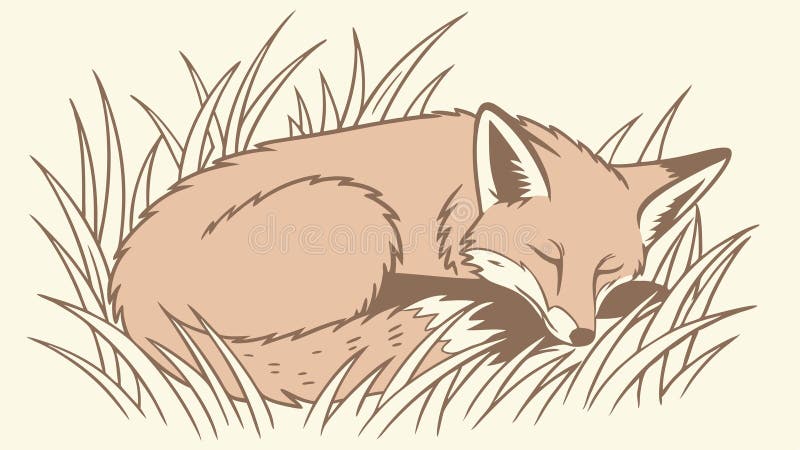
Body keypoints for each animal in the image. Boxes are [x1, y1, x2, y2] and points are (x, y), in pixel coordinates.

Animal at [109, 103, 730, 405]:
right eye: (548, 256)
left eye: (606, 270)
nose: (581, 336)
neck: (456, 201)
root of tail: (136, 285)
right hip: (359, 209)